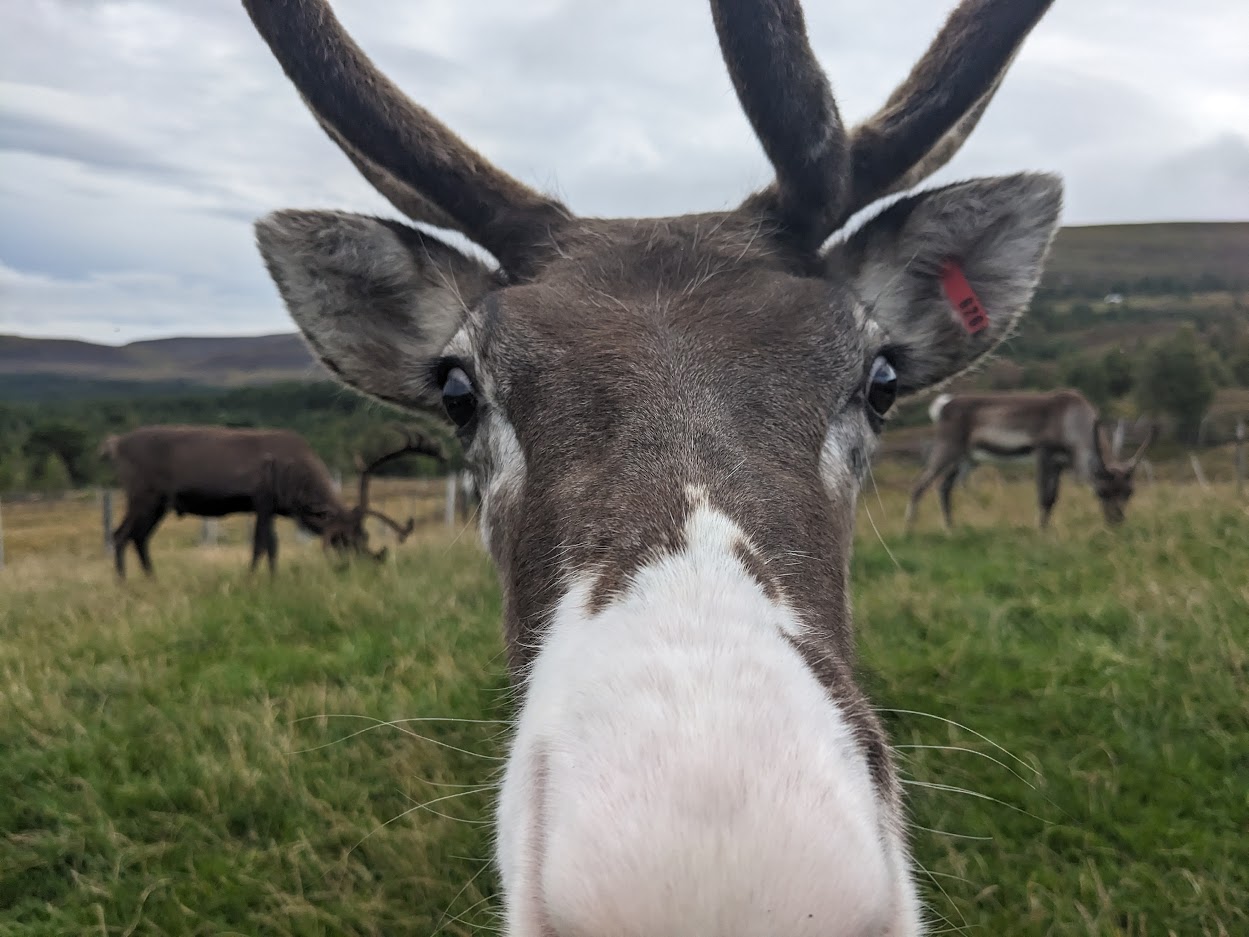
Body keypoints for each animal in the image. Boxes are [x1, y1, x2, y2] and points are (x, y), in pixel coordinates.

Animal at [100, 424, 443, 577]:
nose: (366, 565)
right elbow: (261, 545)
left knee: (139, 537)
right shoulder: (262, 500)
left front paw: (273, 580)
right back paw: (125, 584)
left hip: (159, 503)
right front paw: (252, 580)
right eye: (342, 539)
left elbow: (273, 546)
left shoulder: (275, 508)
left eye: (366, 535)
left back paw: (152, 580)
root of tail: (114, 444)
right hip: (143, 494)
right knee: (121, 534)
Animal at [906, 389, 1156, 531]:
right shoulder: (1043, 454)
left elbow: (1053, 499)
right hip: (947, 450)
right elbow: (1043, 497)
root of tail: (943, 406)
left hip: (967, 460)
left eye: (1129, 491)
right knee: (919, 485)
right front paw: (1041, 533)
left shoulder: (1059, 464)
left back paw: (951, 529)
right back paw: (909, 531)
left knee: (944, 487)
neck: (1072, 421)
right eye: (1101, 491)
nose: (1117, 522)